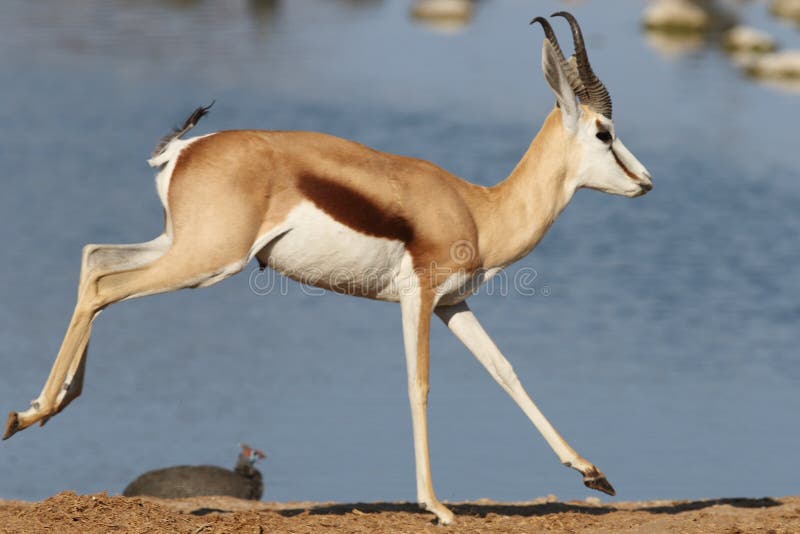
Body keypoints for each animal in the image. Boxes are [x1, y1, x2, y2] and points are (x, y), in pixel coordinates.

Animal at [4, 12, 652, 524]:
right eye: (604, 132)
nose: (645, 182)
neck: (478, 206)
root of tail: (184, 150)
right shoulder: (419, 296)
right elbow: (419, 385)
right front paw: (437, 507)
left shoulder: (453, 304)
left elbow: (506, 372)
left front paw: (593, 473)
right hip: (208, 262)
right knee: (106, 285)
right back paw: (29, 415)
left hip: (181, 247)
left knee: (95, 262)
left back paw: (39, 409)